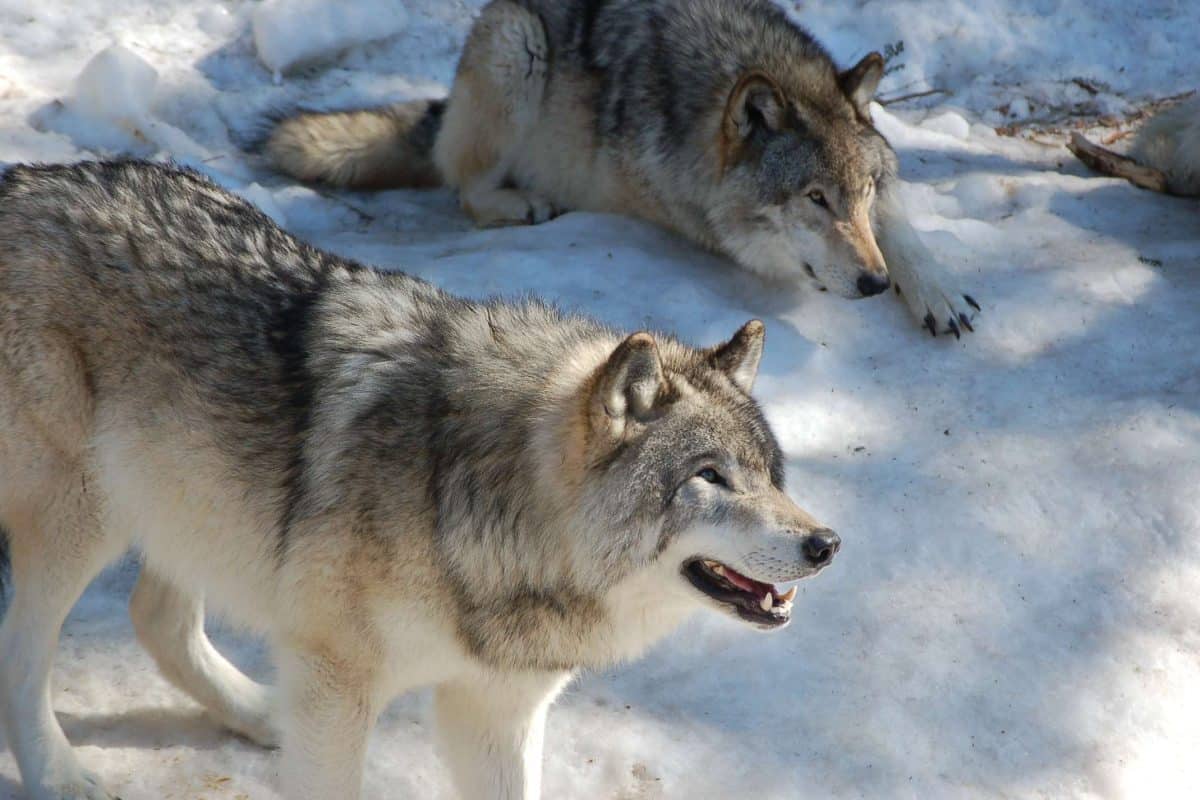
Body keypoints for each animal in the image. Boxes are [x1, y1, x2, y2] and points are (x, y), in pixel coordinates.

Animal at [0, 160, 840, 800]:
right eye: (710, 477)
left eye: (769, 474)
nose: (827, 544)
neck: (482, 504)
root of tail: (23, 178)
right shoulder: (336, 687)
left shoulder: (496, 711)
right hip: (85, 517)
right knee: (25, 652)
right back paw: (59, 776)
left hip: (182, 506)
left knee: (159, 620)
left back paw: (261, 715)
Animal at [266, 0, 980, 338]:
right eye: (814, 199)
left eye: (858, 193)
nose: (873, 285)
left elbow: (902, 230)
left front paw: (937, 291)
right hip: (516, 45)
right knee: (465, 187)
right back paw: (520, 203)